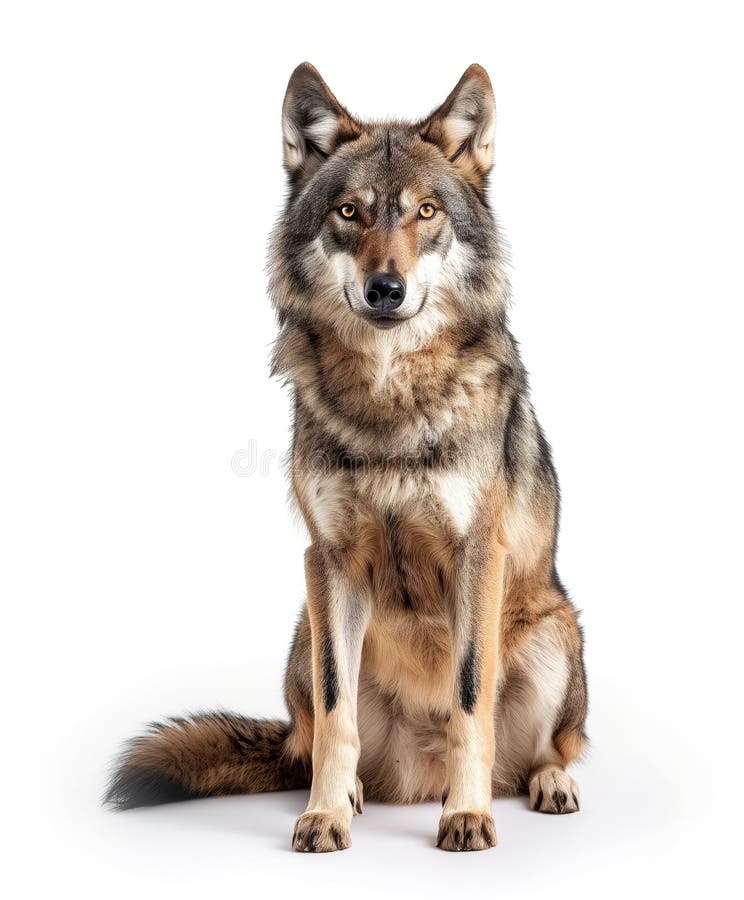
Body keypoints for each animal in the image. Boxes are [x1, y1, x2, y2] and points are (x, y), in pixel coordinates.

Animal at [105, 62, 588, 853]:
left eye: (426, 212)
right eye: (350, 213)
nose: (385, 289)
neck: (389, 396)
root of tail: (416, 777)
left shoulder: (475, 555)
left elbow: (469, 702)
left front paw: (468, 815)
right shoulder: (328, 560)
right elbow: (337, 718)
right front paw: (325, 815)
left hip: (555, 634)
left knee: (551, 749)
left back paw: (546, 784)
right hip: (306, 631)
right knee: (311, 738)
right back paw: (357, 793)